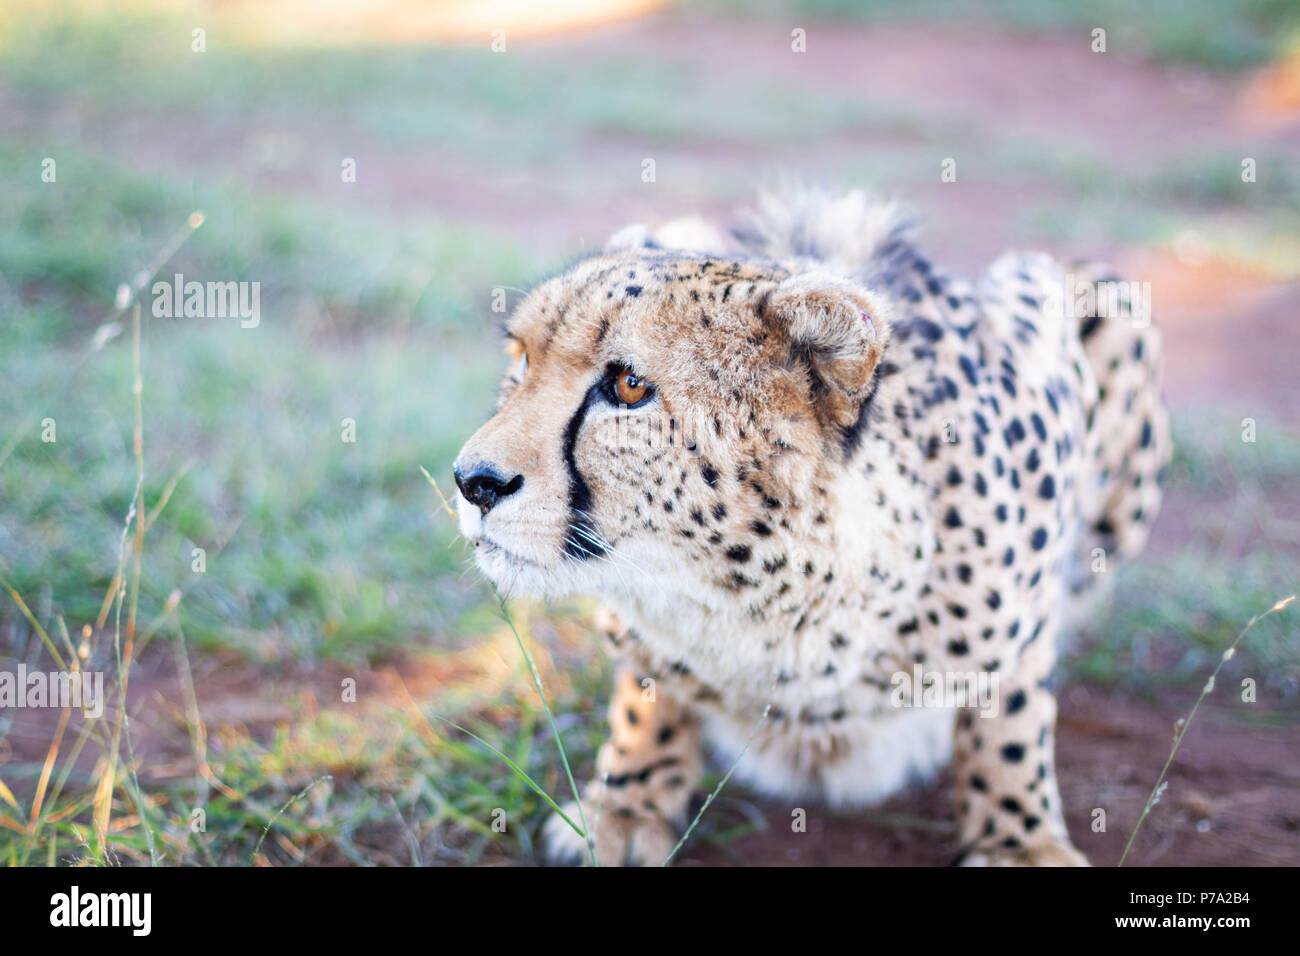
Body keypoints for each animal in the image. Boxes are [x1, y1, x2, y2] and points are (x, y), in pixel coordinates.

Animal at [452, 186, 1169, 866]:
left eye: (630, 386)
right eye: (523, 360)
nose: (472, 481)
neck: (763, 589)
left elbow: (1011, 715)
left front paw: (1018, 842)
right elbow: (646, 683)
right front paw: (627, 804)